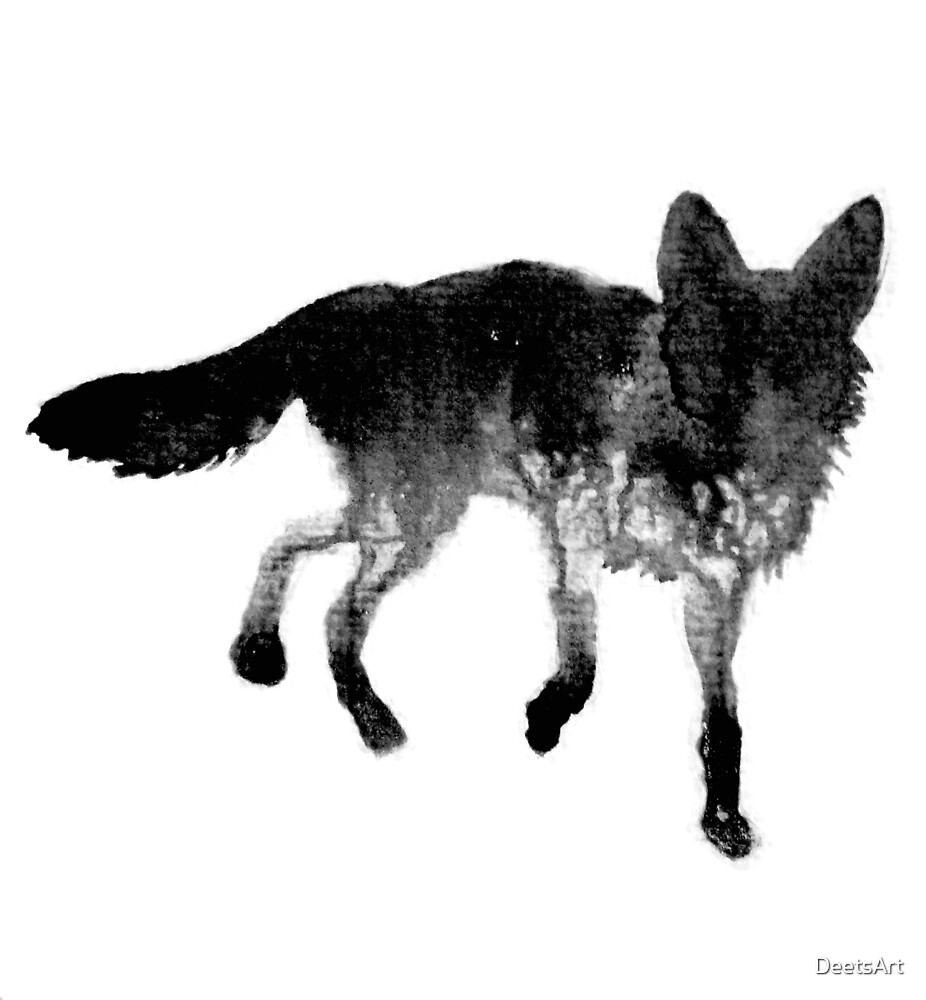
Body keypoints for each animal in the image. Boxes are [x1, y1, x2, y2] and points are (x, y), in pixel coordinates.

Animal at [27, 192, 884, 859]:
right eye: (715, 359)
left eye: (797, 367)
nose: (761, 450)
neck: (688, 449)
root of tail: (365, 302)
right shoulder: (575, 532)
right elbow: (583, 656)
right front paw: (546, 720)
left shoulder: (715, 595)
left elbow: (723, 720)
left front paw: (722, 819)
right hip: (412, 517)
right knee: (339, 613)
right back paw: (372, 723)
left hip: (399, 511)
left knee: (288, 540)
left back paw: (259, 650)